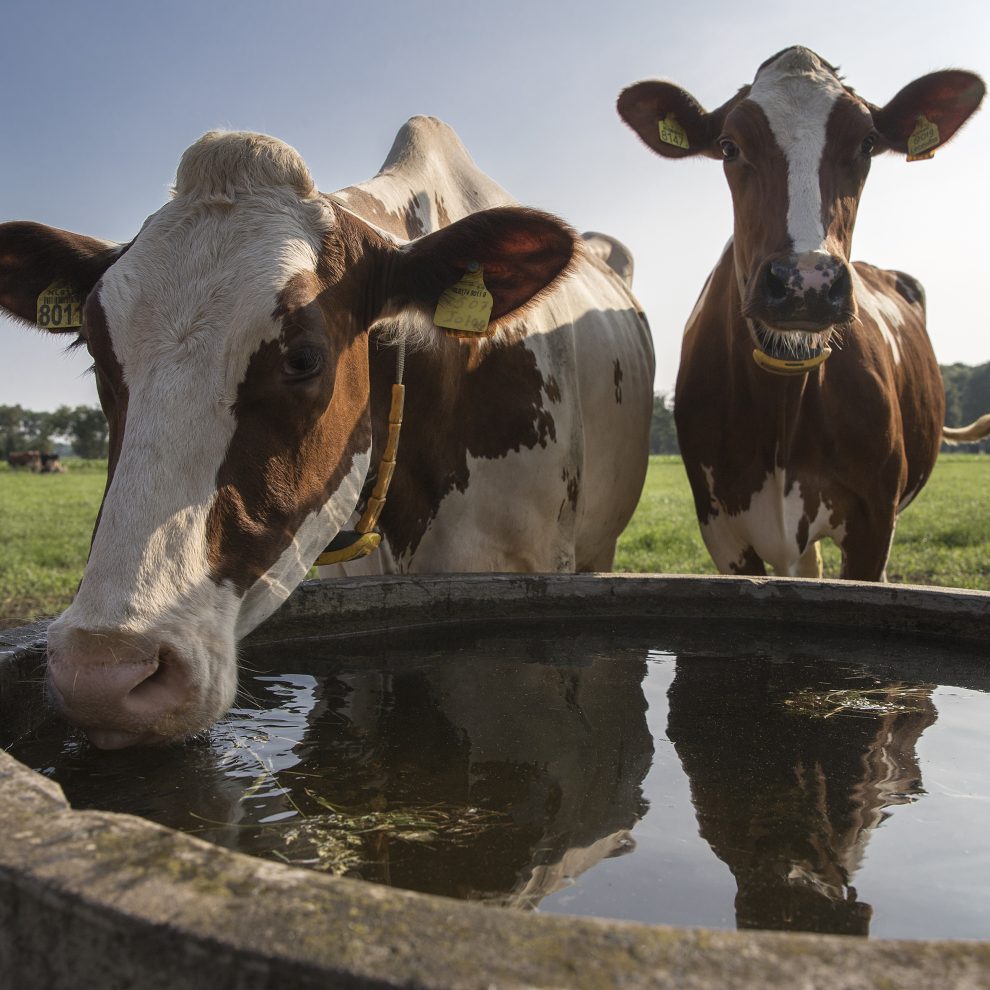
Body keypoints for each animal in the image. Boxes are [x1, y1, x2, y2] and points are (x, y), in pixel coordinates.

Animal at [619, 47, 988, 580]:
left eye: (867, 144)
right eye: (729, 147)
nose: (806, 282)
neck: (784, 398)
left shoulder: (875, 519)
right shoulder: (723, 529)